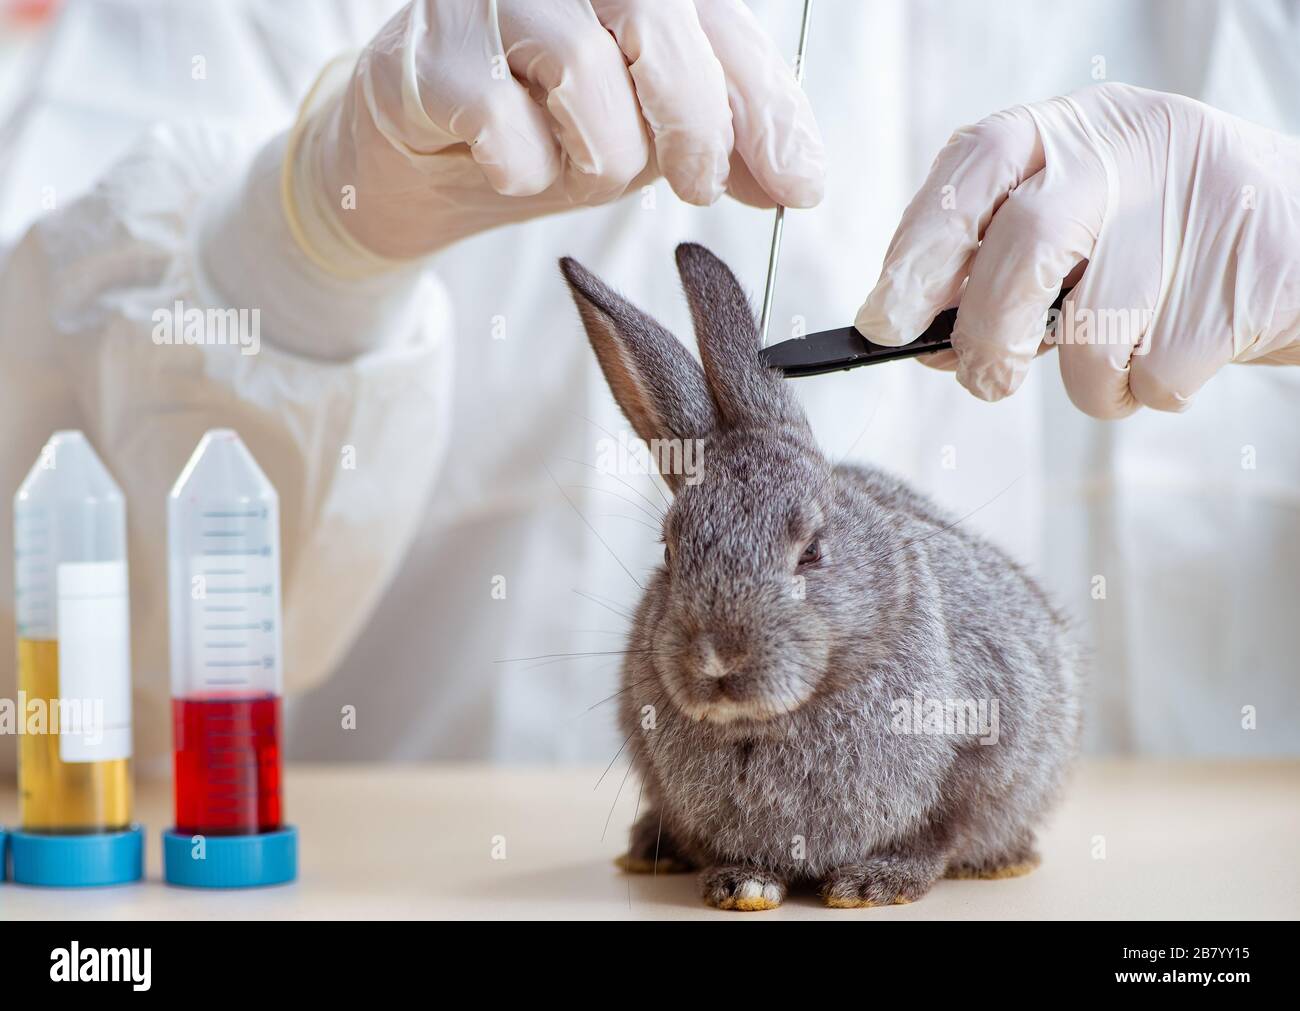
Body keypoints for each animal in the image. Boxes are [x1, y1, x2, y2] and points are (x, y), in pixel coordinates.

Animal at [559, 243, 1082, 912]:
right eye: (670, 549)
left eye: (810, 550)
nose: (717, 659)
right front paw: (742, 884)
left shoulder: (986, 750)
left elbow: (941, 831)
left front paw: (872, 884)